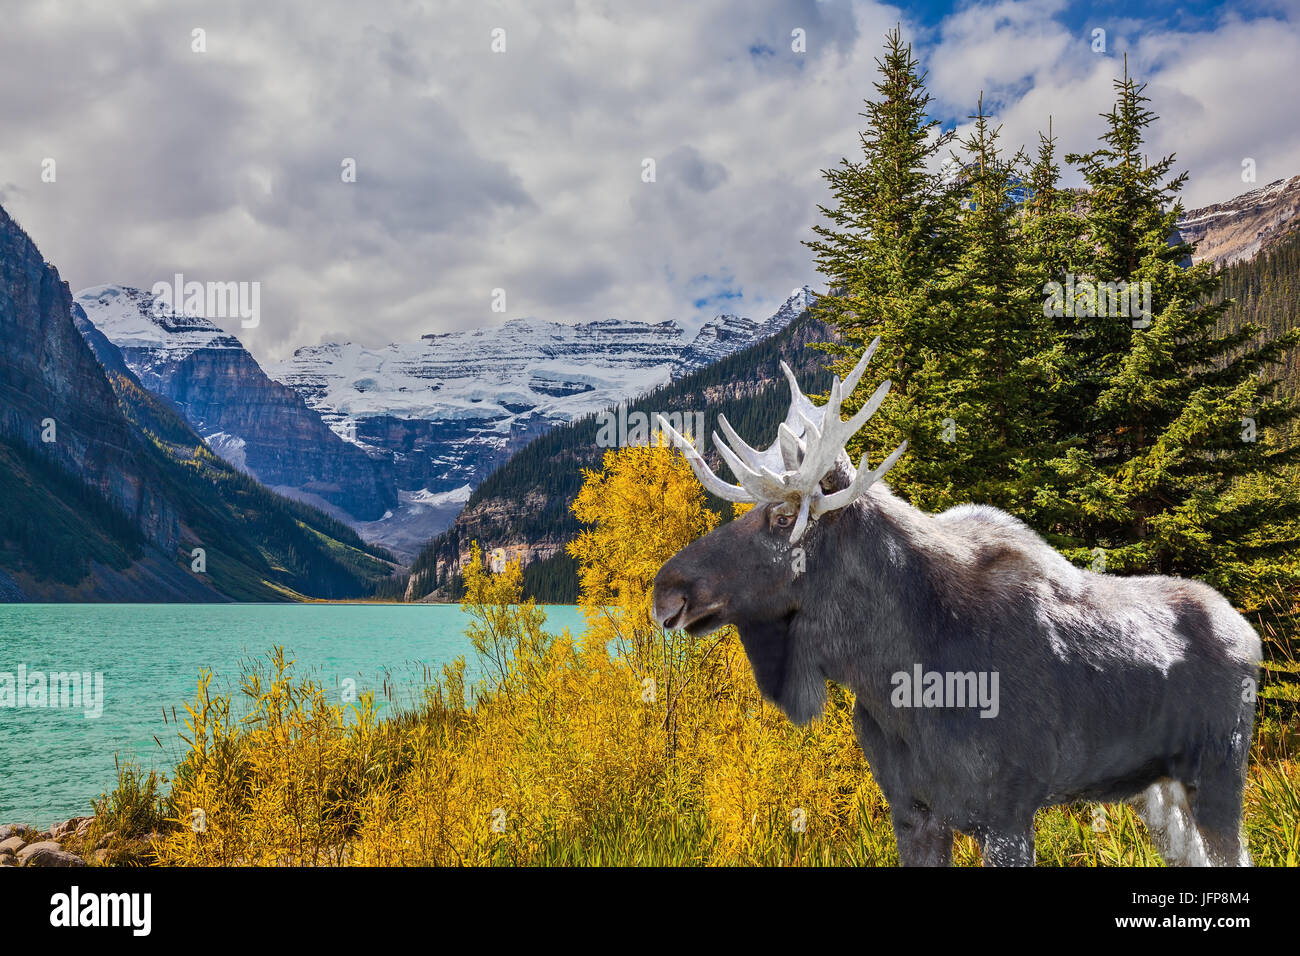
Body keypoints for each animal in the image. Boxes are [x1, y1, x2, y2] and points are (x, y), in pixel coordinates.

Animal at [652, 338, 1261, 866]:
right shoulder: (910, 811)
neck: (897, 680)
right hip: (1156, 791)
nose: (664, 591)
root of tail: (1250, 635)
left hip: (1220, 772)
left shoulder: (1008, 813)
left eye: (783, 519)